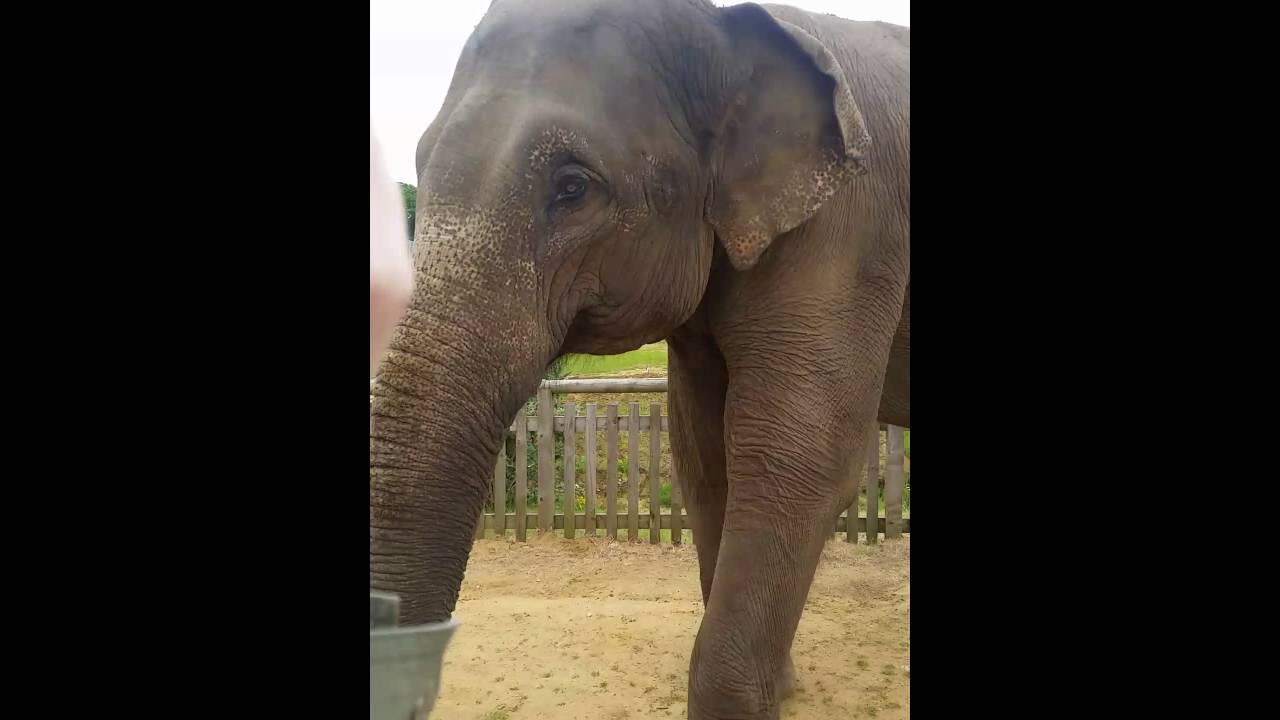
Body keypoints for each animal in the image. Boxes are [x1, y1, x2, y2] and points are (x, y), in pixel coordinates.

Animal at [369, 1, 909, 718]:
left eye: (573, 186)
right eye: (422, 163)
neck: (721, 34)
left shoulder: (854, 228)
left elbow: (797, 457)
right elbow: (705, 457)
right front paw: (782, 687)